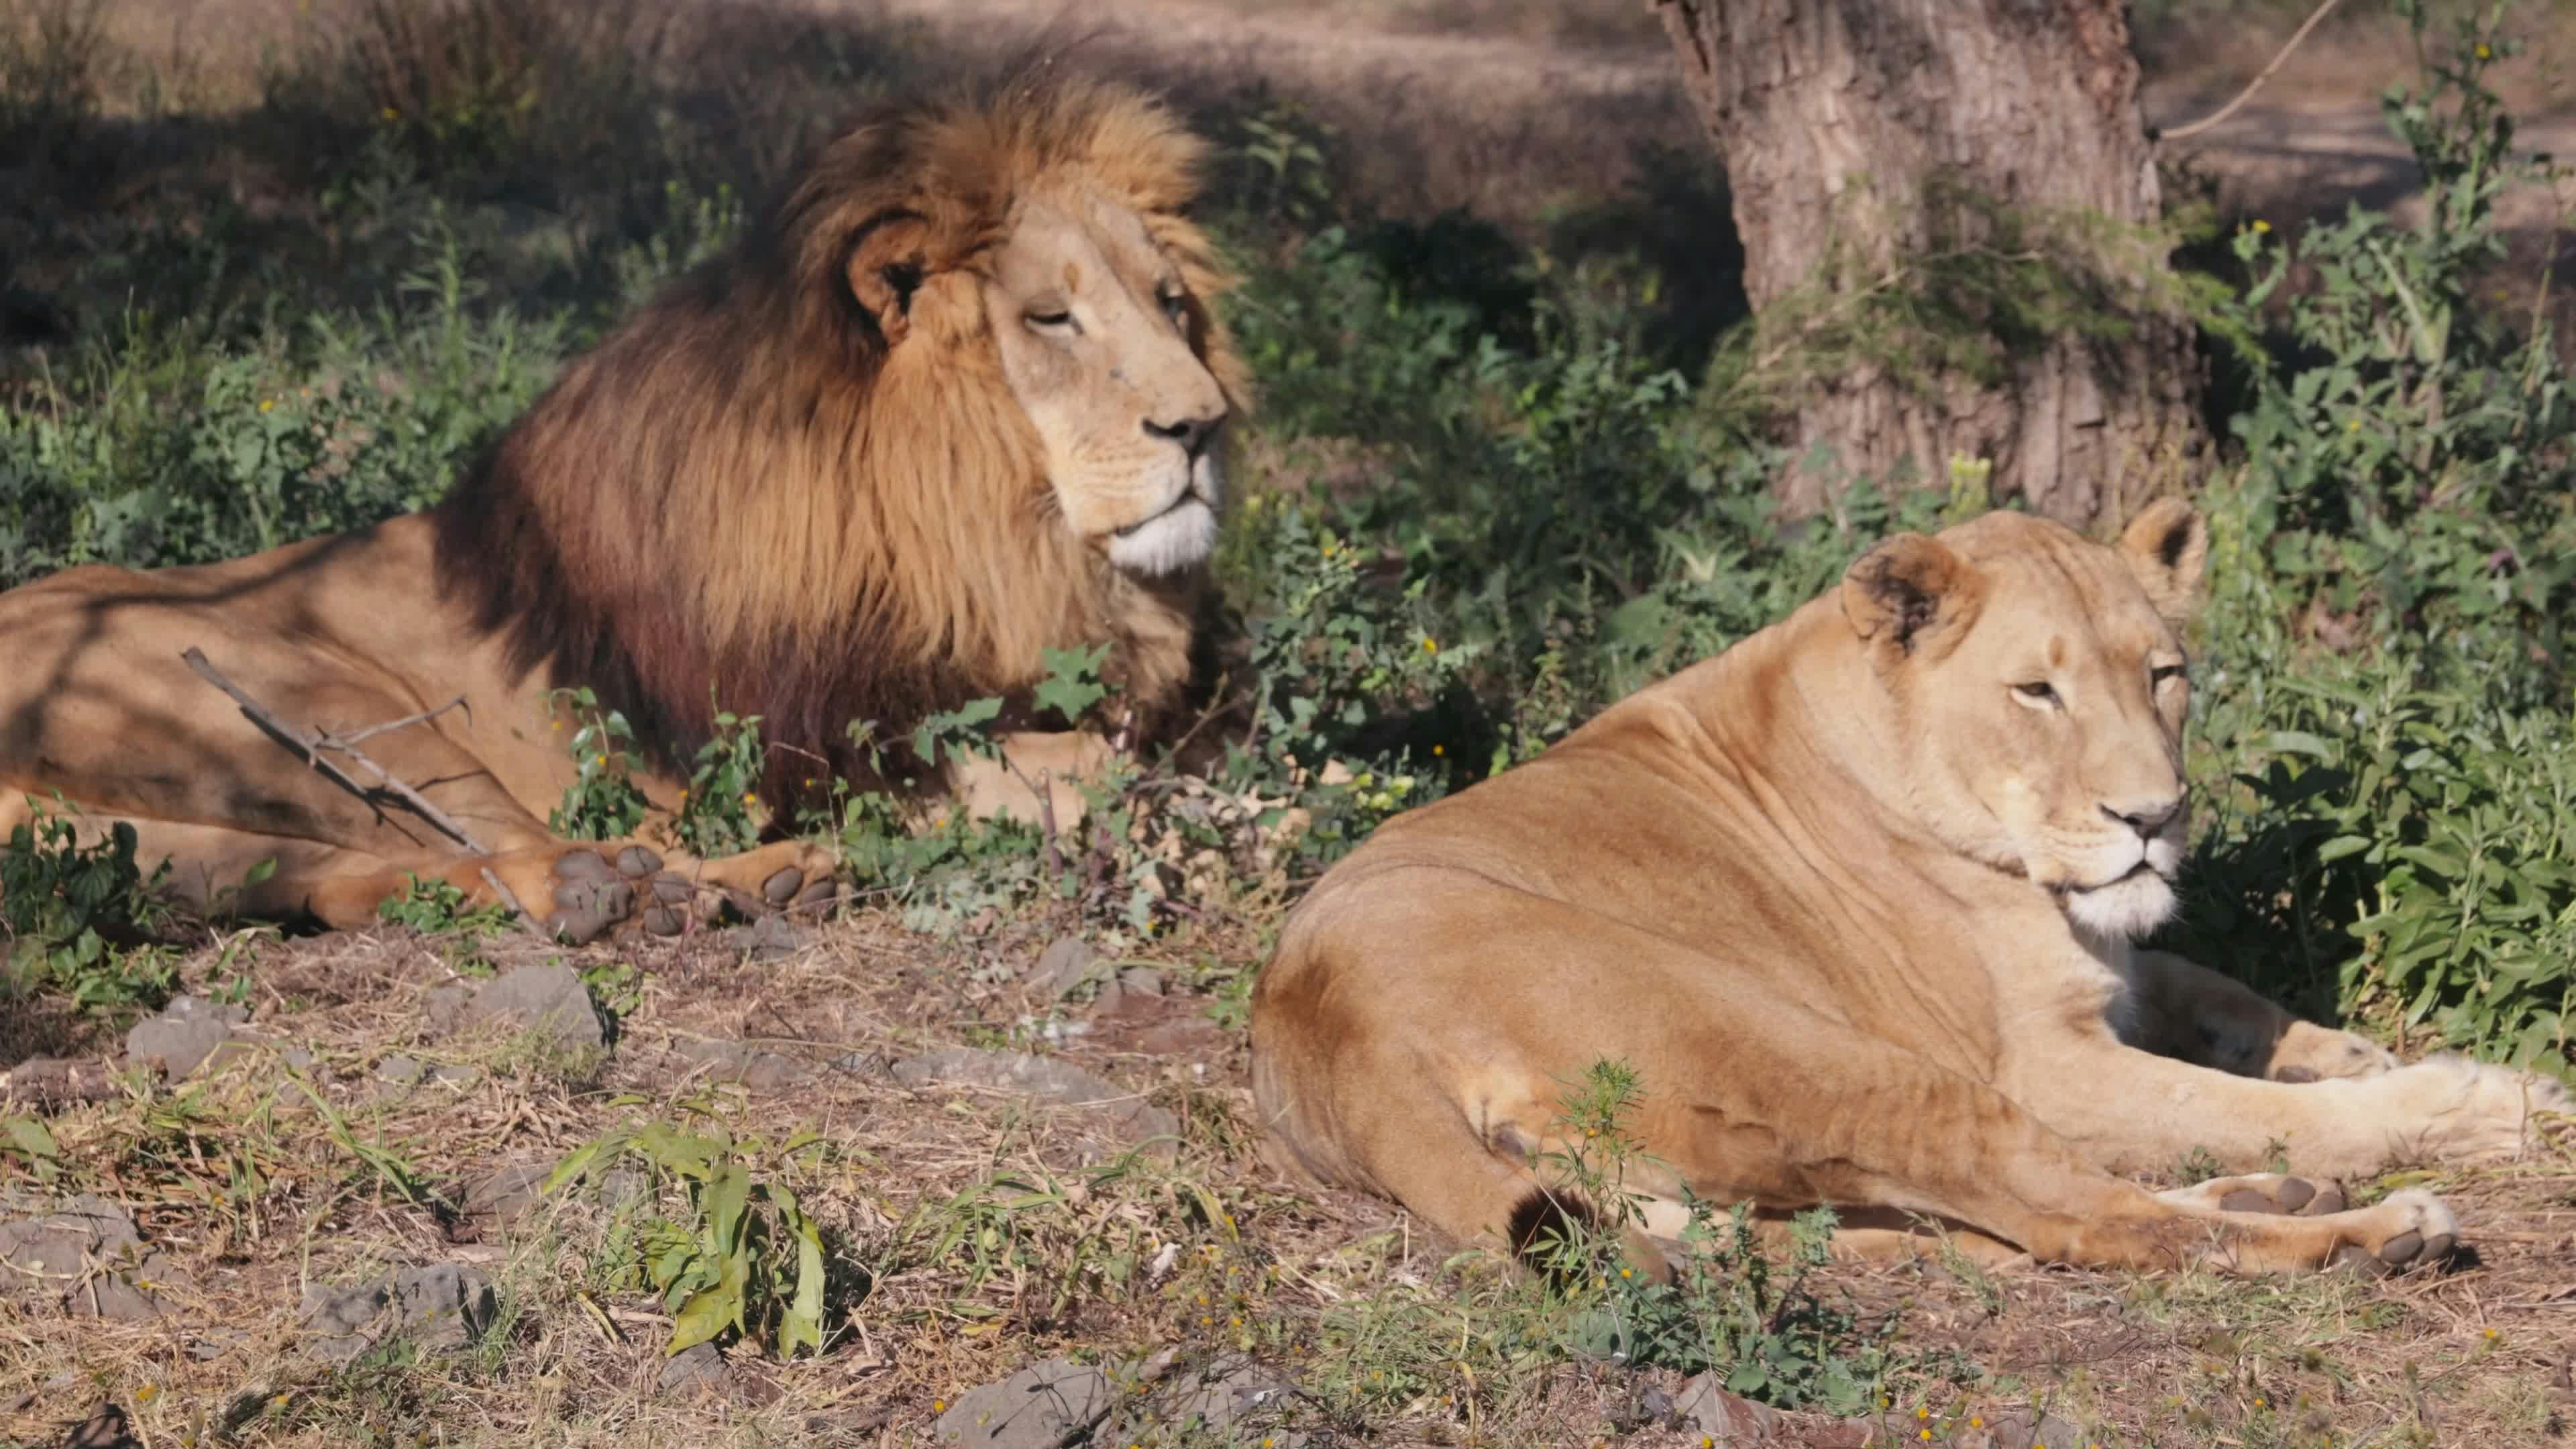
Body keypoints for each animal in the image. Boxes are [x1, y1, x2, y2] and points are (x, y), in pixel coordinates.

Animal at [0, 75, 1248, 944]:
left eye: (1172, 304)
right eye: (1050, 319)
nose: (1205, 423)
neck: (987, 537)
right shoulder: (837, 739)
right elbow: (1091, 775)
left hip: (188, 827)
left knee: (337, 878)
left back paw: (656, 893)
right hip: (291, 705)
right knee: (529, 835)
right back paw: (696, 884)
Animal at [1250, 500, 2570, 1278]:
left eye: (2164, 675)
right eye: (2037, 692)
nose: (2153, 819)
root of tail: (1324, 1032)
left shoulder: (2113, 977)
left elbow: (2210, 992)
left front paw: (2335, 1047)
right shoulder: (2045, 1065)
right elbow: (2264, 1101)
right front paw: (2481, 1102)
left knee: (1979, 1223)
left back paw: (2277, 1194)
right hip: (1852, 1067)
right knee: (2088, 1221)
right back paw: (2380, 1233)